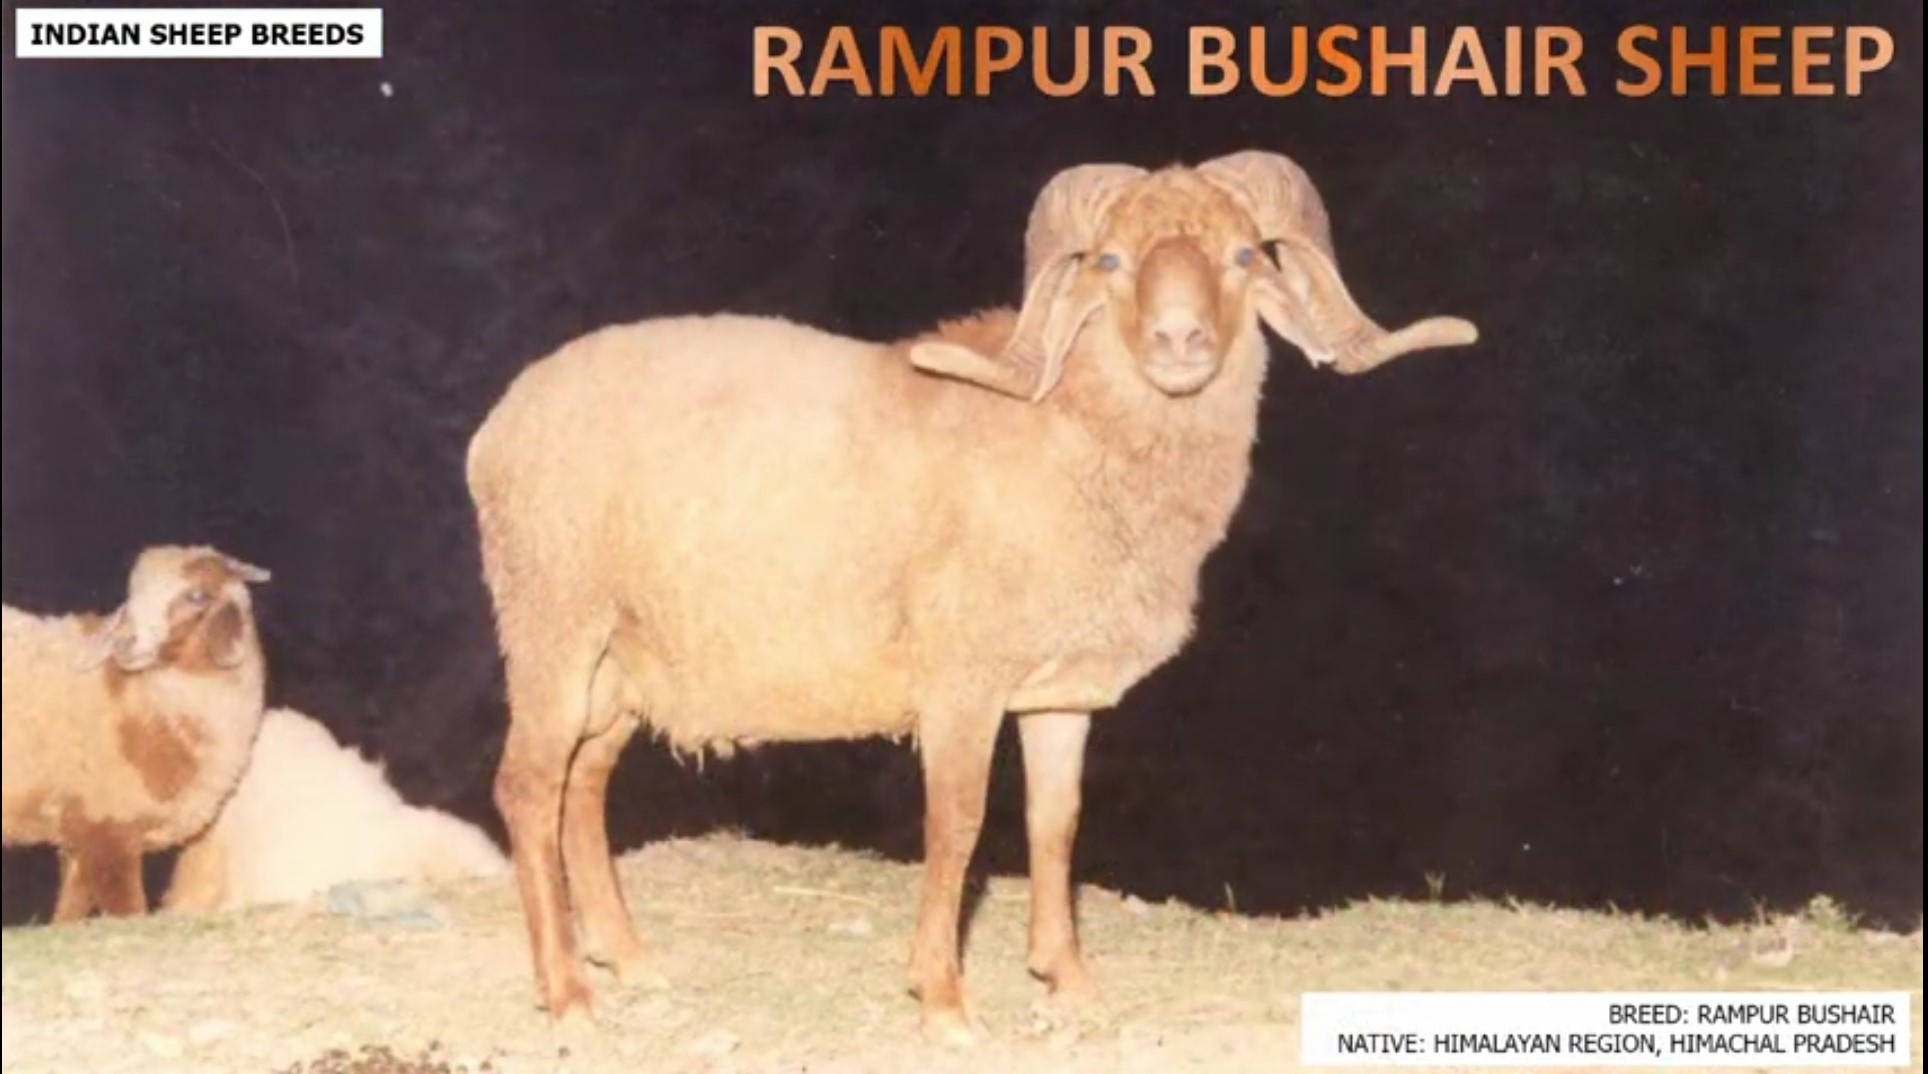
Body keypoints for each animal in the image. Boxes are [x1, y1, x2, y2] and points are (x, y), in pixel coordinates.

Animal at [1, 545, 272, 922]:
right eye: (133, 595)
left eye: (198, 596)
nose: (124, 641)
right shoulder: (108, 827)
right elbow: (128, 910)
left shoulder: (80, 834)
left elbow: (70, 913)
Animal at [465, 149, 1478, 1041]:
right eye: (1110, 261)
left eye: (1243, 257)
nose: (1179, 342)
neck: (1065, 437)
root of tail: (497, 428)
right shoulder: (961, 683)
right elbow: (956, 826)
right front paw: (944, 1002)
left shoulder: (1059, 696)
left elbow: (1055, 827)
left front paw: (1068, 982)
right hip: (553, 625)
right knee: (528, 787)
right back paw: (568, 996)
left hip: (618, 665)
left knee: (583, 787)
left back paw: (629, 962)